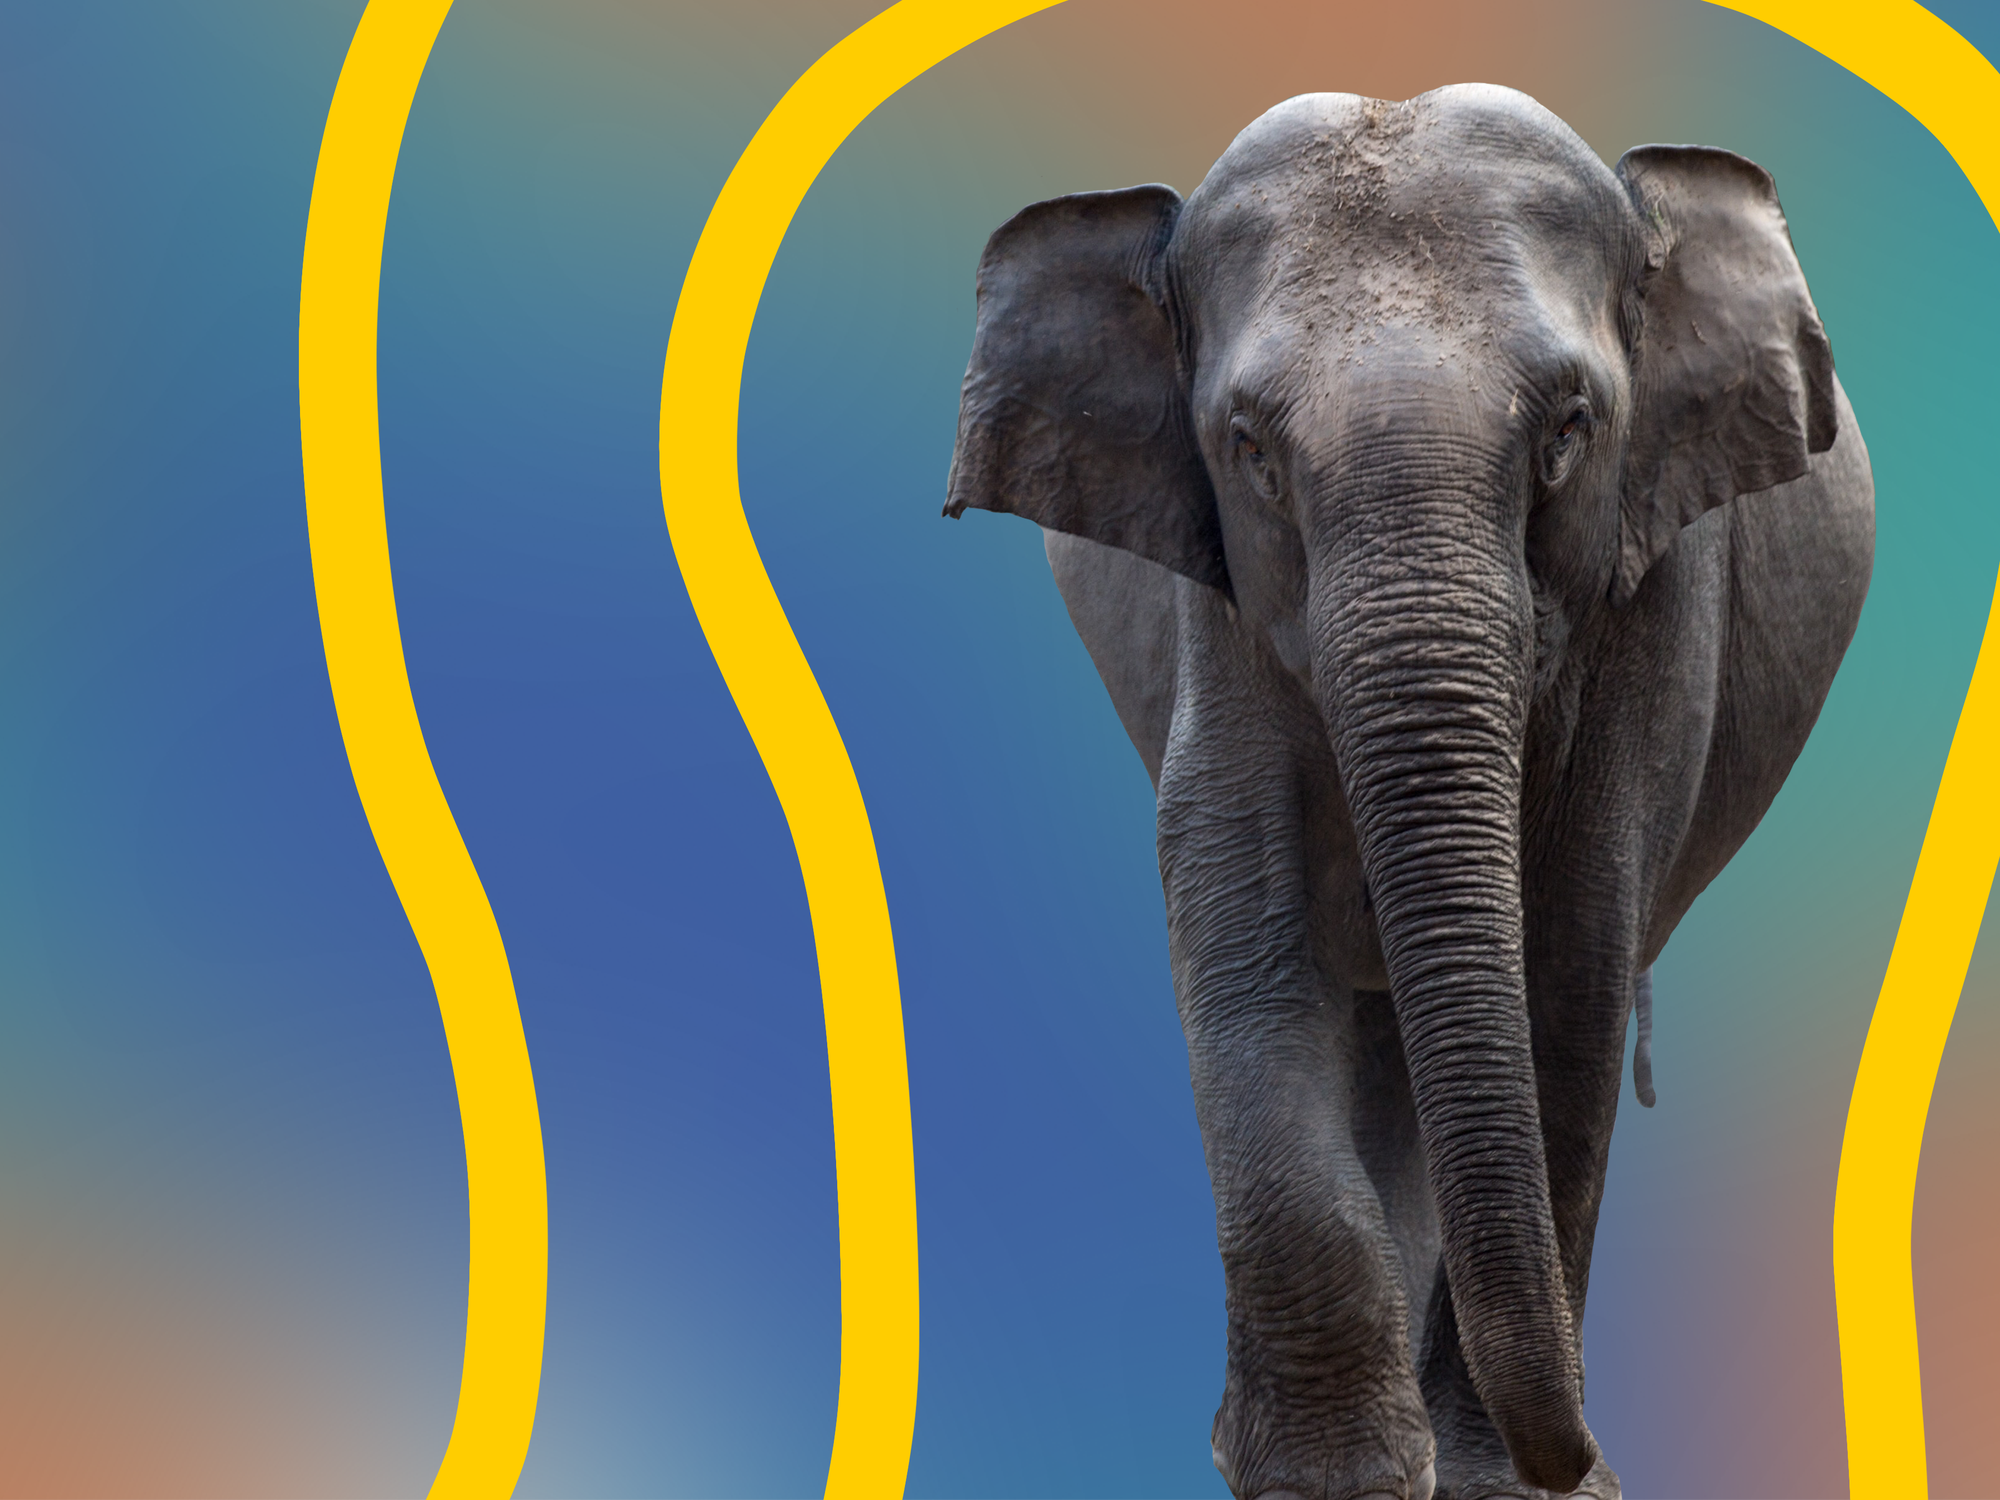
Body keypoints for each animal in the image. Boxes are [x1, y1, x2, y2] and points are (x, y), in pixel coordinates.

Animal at [942, 86, 1872, 1500]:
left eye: (1567, 432)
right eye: (1247, 450)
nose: (1587, 1458)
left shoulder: (1657, 587)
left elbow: (1572, 964)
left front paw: (1492, 1484)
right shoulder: (1218, 607)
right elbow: (1243, 935)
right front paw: (1332, 1481)